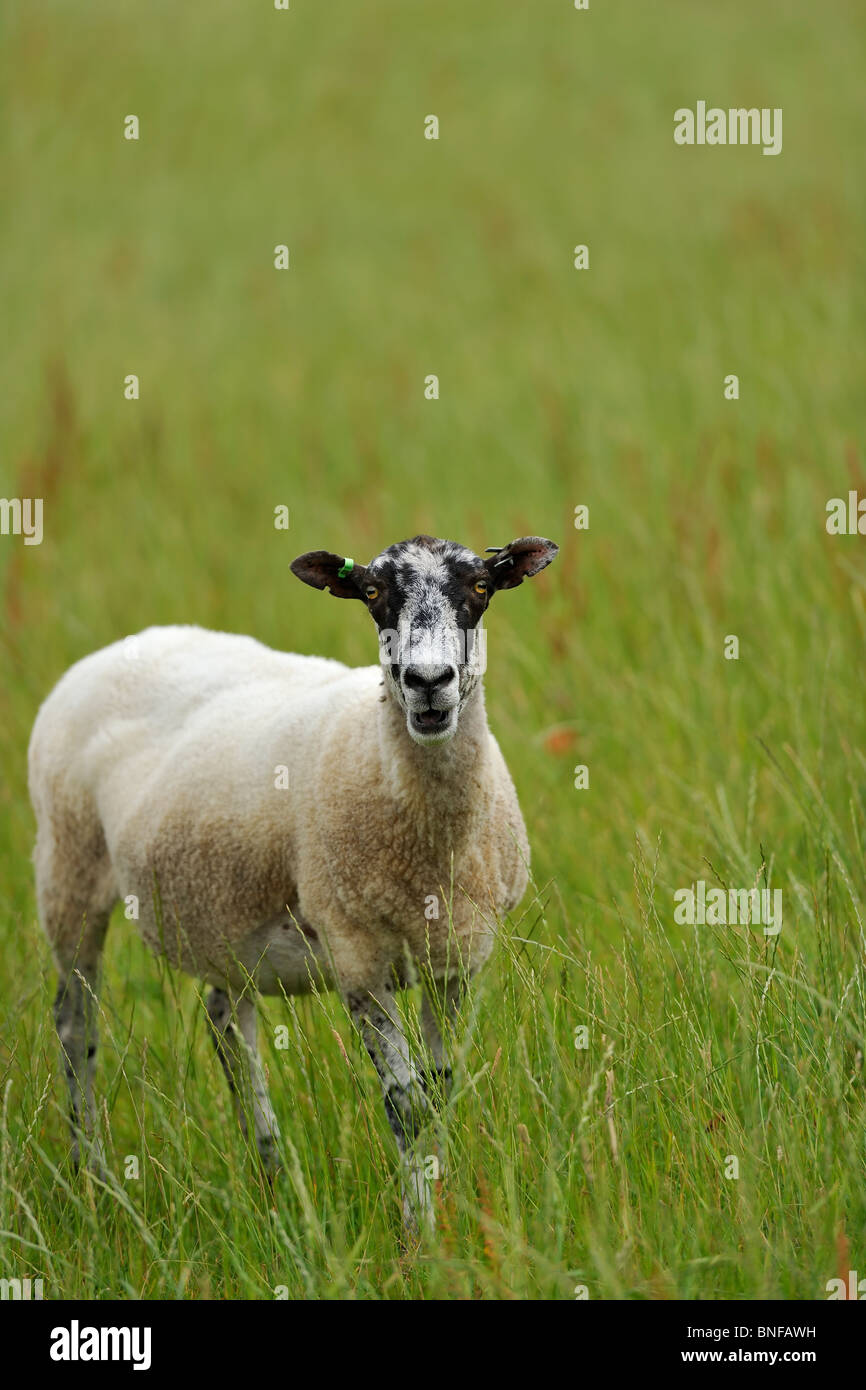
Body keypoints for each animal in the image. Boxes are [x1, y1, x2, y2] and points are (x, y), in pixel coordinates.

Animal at [28, 532, 558, 1228]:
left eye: (479, 588)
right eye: (371, 593)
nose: (428, 683)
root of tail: (119, 646)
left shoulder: (457, 959)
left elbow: (440, 1093)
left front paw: (441, 1211)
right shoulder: (357, 957)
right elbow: (407, 1107)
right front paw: (418, 1232)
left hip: (225, 908)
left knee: (227, 1023)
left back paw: (273, 1180)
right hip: (67, 865)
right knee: (75, 1026)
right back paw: (94, 1181)